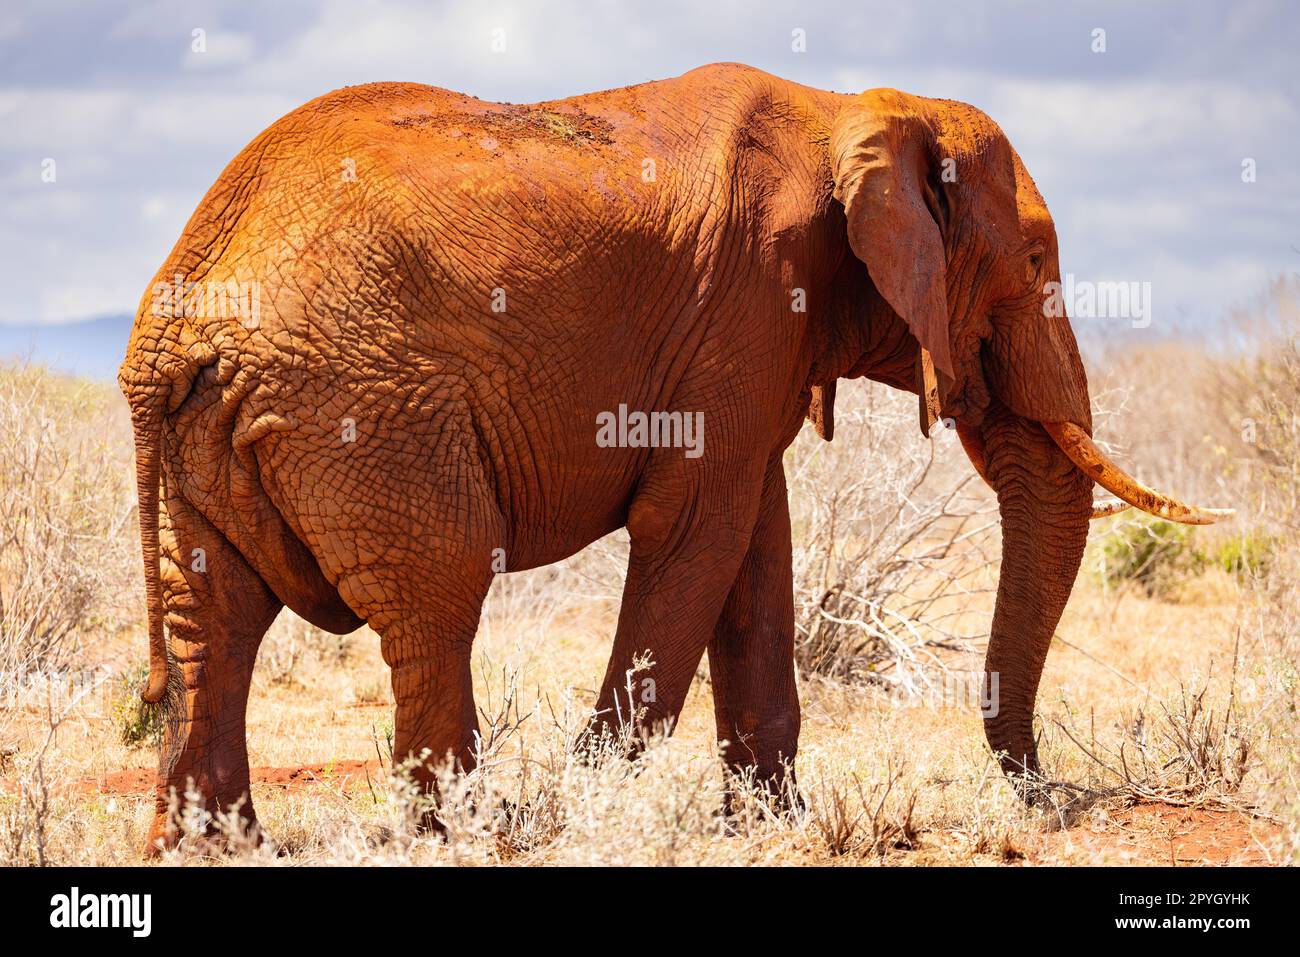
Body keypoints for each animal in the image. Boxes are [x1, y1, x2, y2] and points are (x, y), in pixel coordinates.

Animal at [119, 62, 1230, 851]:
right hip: (366, 408)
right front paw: (580, 812)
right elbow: (697, 532)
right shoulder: (748, 302)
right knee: (436, 596)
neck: (857, 108)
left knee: (211, 616)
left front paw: (773, 828)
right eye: (1035, 261)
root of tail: (178, 319)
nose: (1048, 796)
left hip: (221, 430)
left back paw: (212, 848)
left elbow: (754, 542)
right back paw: (465, 836)